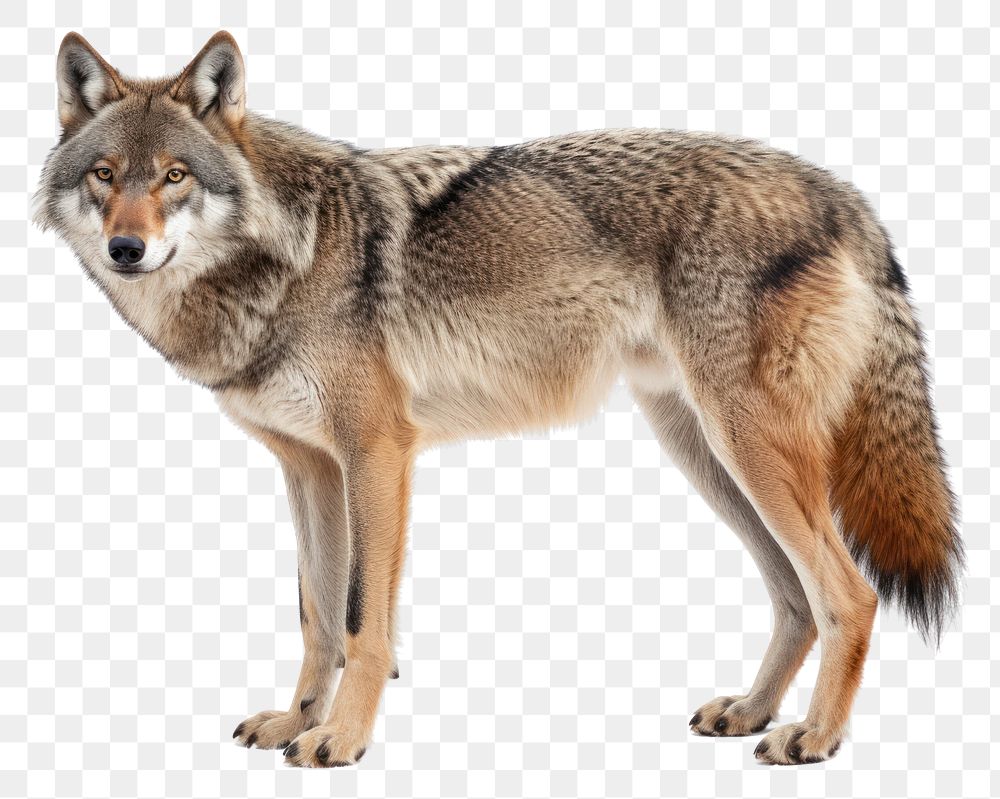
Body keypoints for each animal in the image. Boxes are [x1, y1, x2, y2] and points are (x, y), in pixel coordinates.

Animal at [33, 31, 962, 767]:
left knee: (850, 594)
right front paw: (295, 721)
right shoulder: (309, 467)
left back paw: (814, 735)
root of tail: (841, 191)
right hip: (704, 450)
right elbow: (317, 616)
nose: (125, 248)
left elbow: (363, 620)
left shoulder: (377, 454)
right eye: (106, 175)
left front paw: (340, 738)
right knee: (795, 597)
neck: (284, 256)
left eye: (175, 177)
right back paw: (752, 712)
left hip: (748, 448)